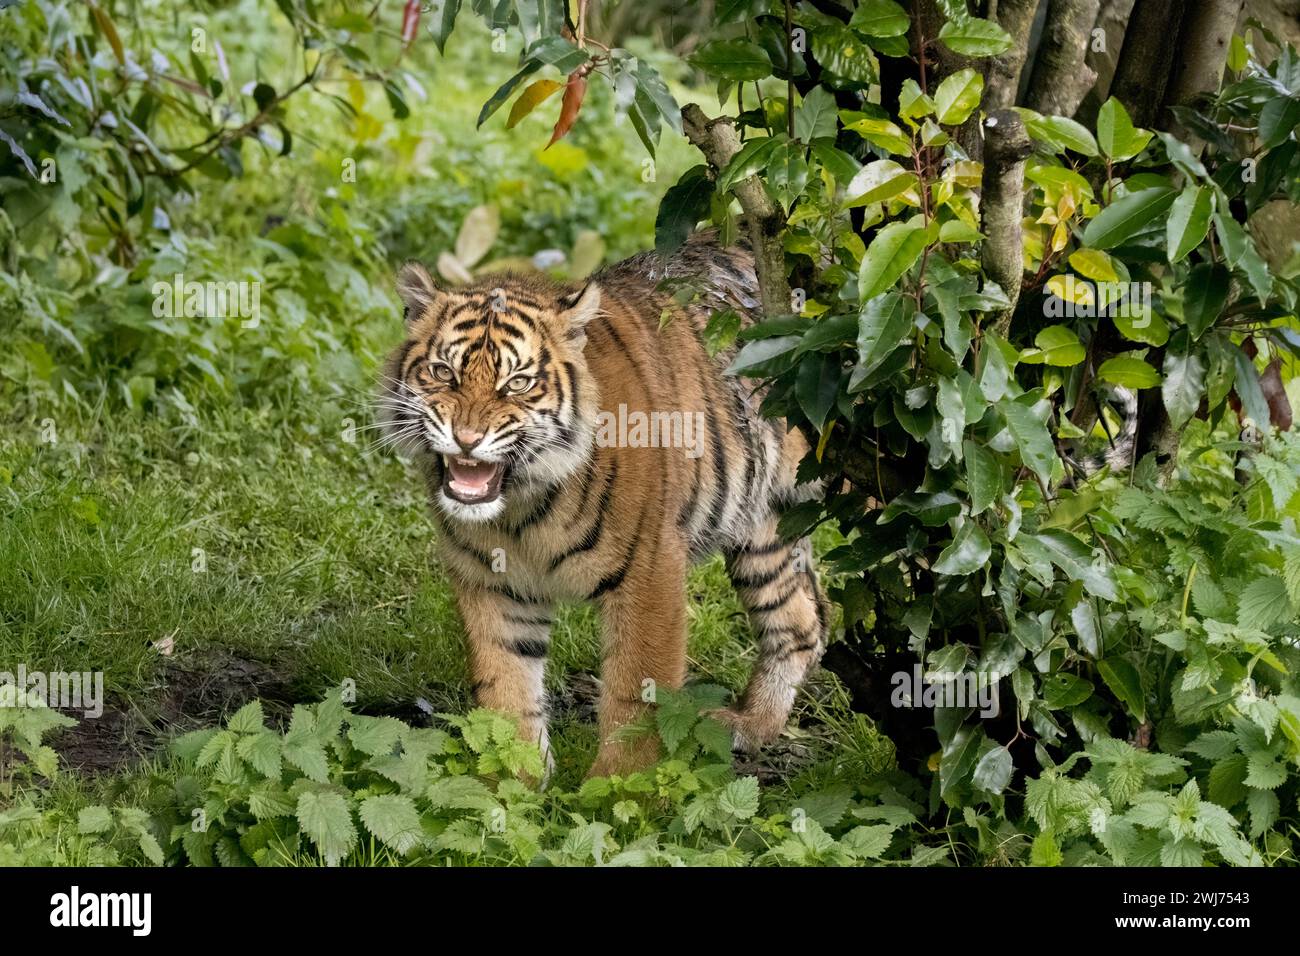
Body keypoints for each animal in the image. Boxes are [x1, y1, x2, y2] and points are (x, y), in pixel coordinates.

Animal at [379, 234, 829, 779]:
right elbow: (506, 689)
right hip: (765, 529)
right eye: (443, 372)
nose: (466, 438)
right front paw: (514, 783)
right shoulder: (493, 582)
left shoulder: (651, 571)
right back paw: (748, 726)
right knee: (803, 620)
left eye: (518, 383)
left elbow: (637, 692)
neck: (520, 507)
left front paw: (621, 784)